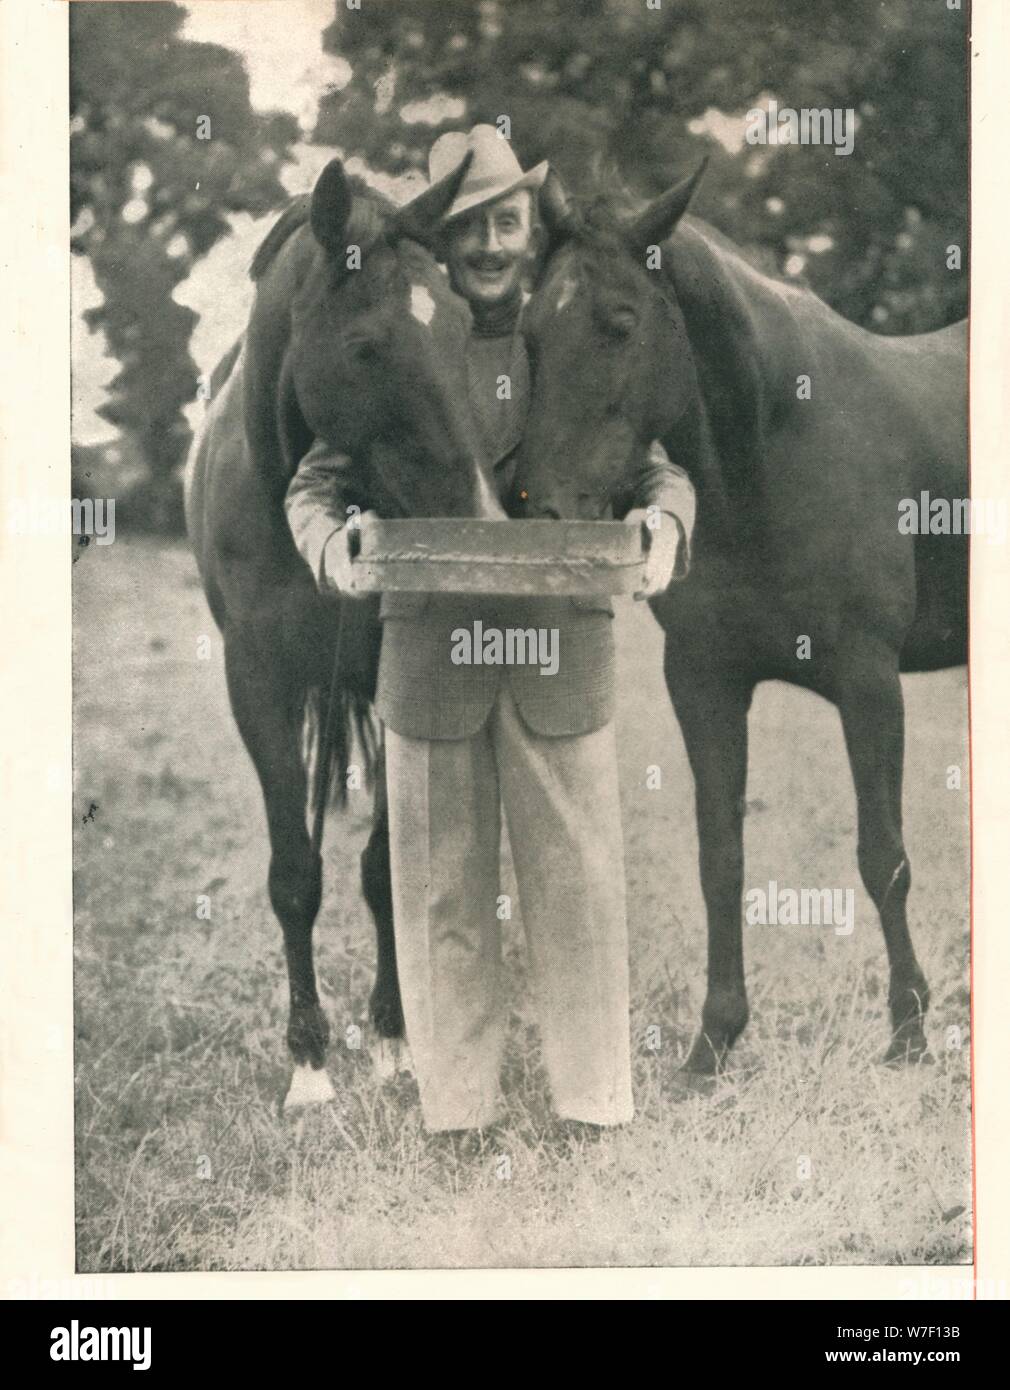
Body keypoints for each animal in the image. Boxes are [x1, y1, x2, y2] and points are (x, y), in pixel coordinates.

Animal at [185, 153, 503, 1110]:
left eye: (464, 330)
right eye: (367, 347)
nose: (480, 527)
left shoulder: (402, 677)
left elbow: (383, 867)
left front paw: (396, 1041)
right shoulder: (257, 685)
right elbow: (296, 874)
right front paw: (309, 1064)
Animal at [513, 164, 967, 1079]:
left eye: (621, 322)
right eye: (532, 334)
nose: (545, 514)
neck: (776, 455)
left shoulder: (870, 683)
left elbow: (884, 857)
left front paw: (907, 1031)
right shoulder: (704, 682)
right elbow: (719, 858)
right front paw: (712, 1042)